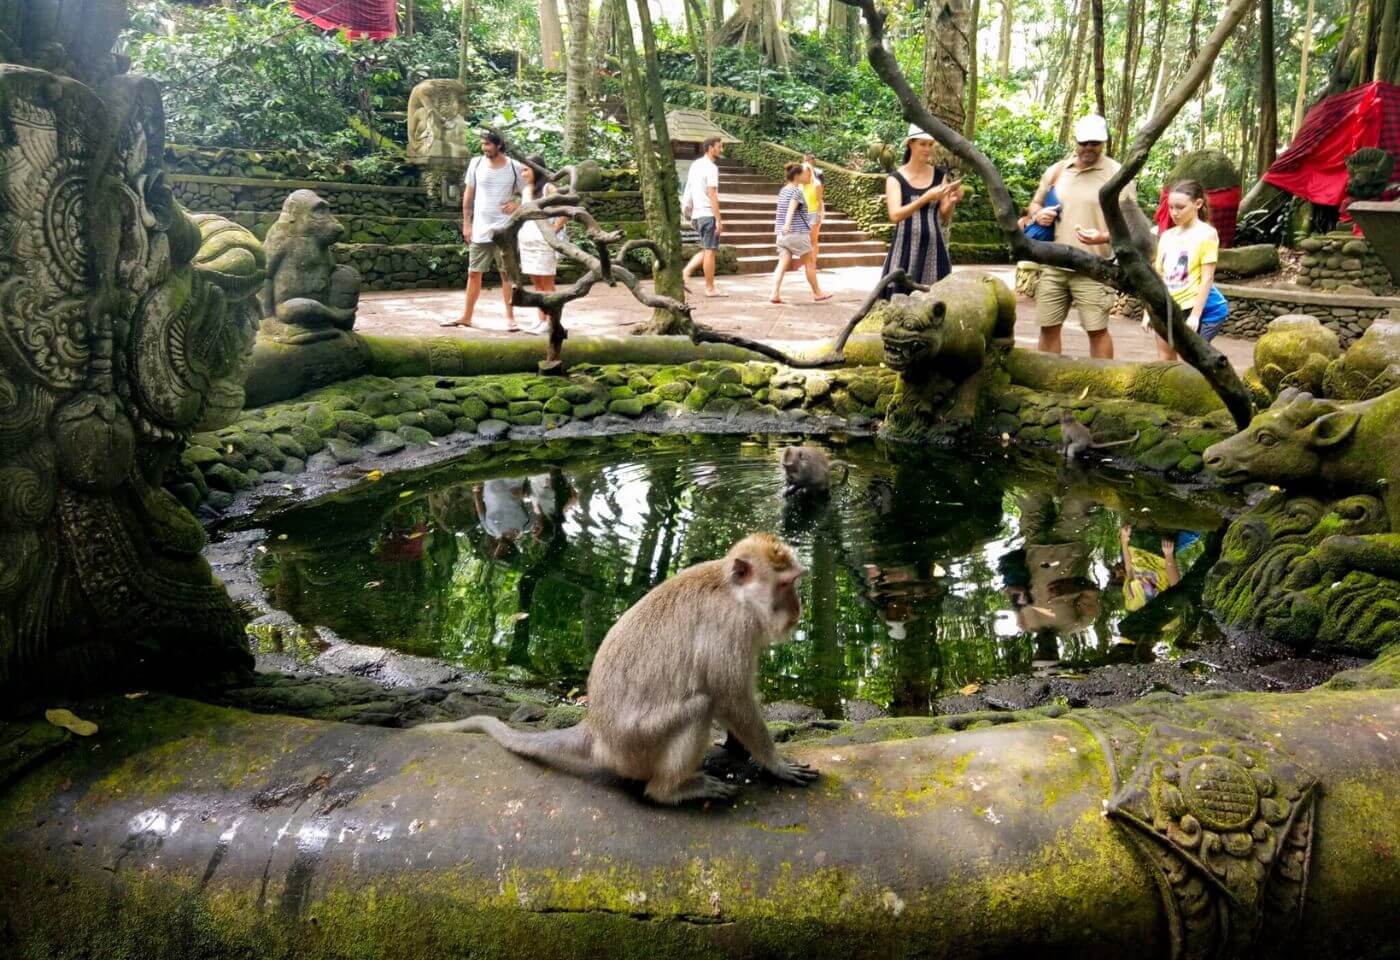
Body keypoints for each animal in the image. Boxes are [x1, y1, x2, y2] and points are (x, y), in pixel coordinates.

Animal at [417, 533, 819, 805]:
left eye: (795, 583)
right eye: (785, 585)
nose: (797, 610)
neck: (733, 592)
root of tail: (595, 731)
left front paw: (738, 750)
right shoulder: (732, 627)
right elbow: (731, 697)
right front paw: (775, 763)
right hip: (636, 746)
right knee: (700, 706)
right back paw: (671, 790)